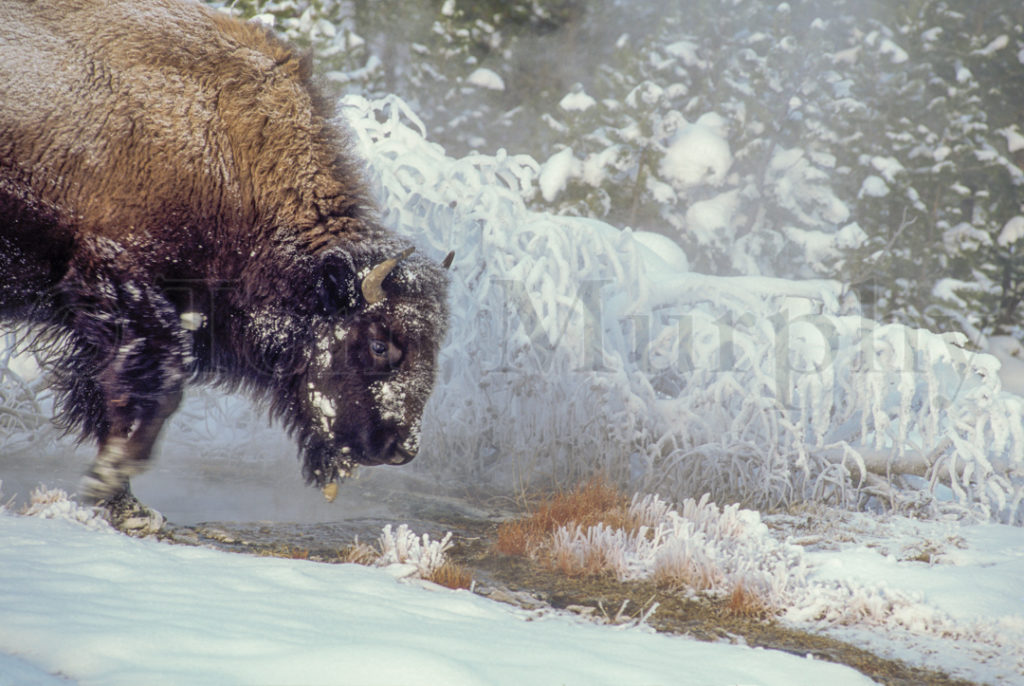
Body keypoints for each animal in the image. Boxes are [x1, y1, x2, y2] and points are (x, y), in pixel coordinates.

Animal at [0, 0, 451, 531]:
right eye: (380, 344)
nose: (400, 447)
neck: (233, 156)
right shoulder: (120, 279)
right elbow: (158, 384)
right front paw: (112, 484)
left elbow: (106, 395)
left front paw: (125, 504)